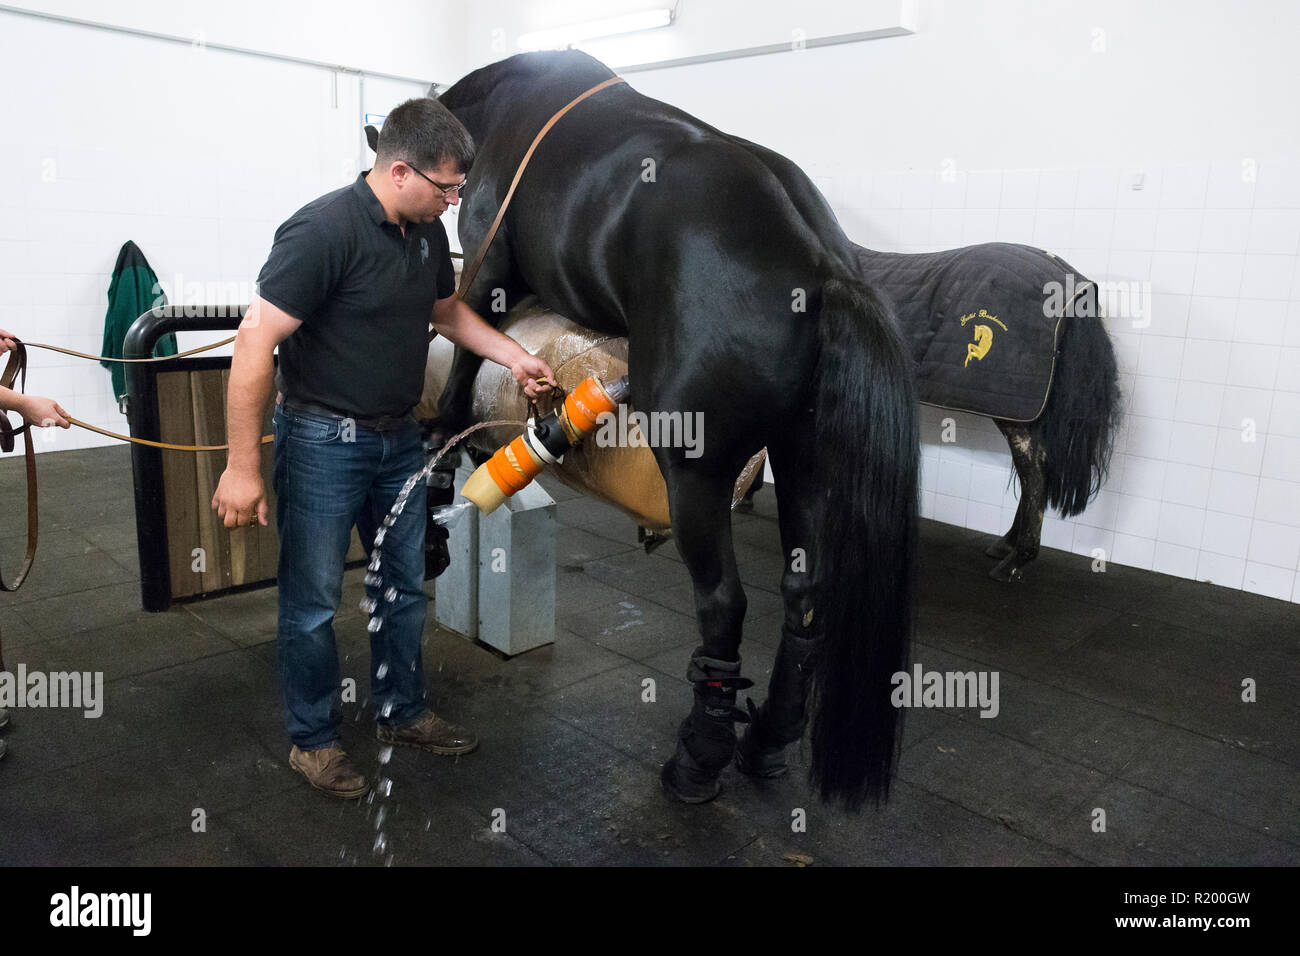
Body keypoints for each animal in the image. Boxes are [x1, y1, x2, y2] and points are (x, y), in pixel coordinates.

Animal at [430, 50, 919, 809]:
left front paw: (442, 440)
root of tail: (821, 268)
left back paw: (699, 758)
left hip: (694, 470)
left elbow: (464, 345)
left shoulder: (487, 263)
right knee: (805, 596)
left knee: (723, 604)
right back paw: (767, 740)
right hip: (801, 458)